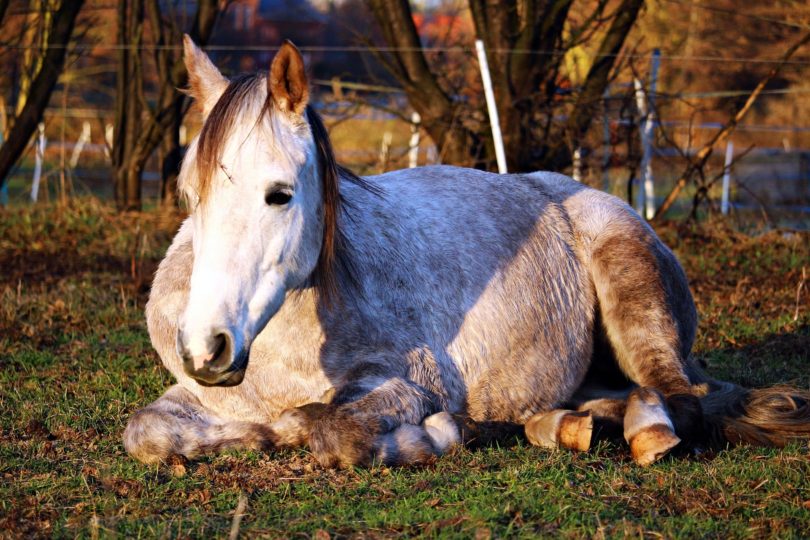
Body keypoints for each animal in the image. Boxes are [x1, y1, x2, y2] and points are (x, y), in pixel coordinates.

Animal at [124, 36, 810, 468]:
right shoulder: (199, 396)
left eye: (279, 194)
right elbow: (146, 433)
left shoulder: (414, 382)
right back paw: (566, 425)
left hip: (634, 296)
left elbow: (331, 428)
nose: (206, 347)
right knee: (607, 399)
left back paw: (639, 431)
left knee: (680, 401)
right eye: (191, 195)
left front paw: (429, 435)